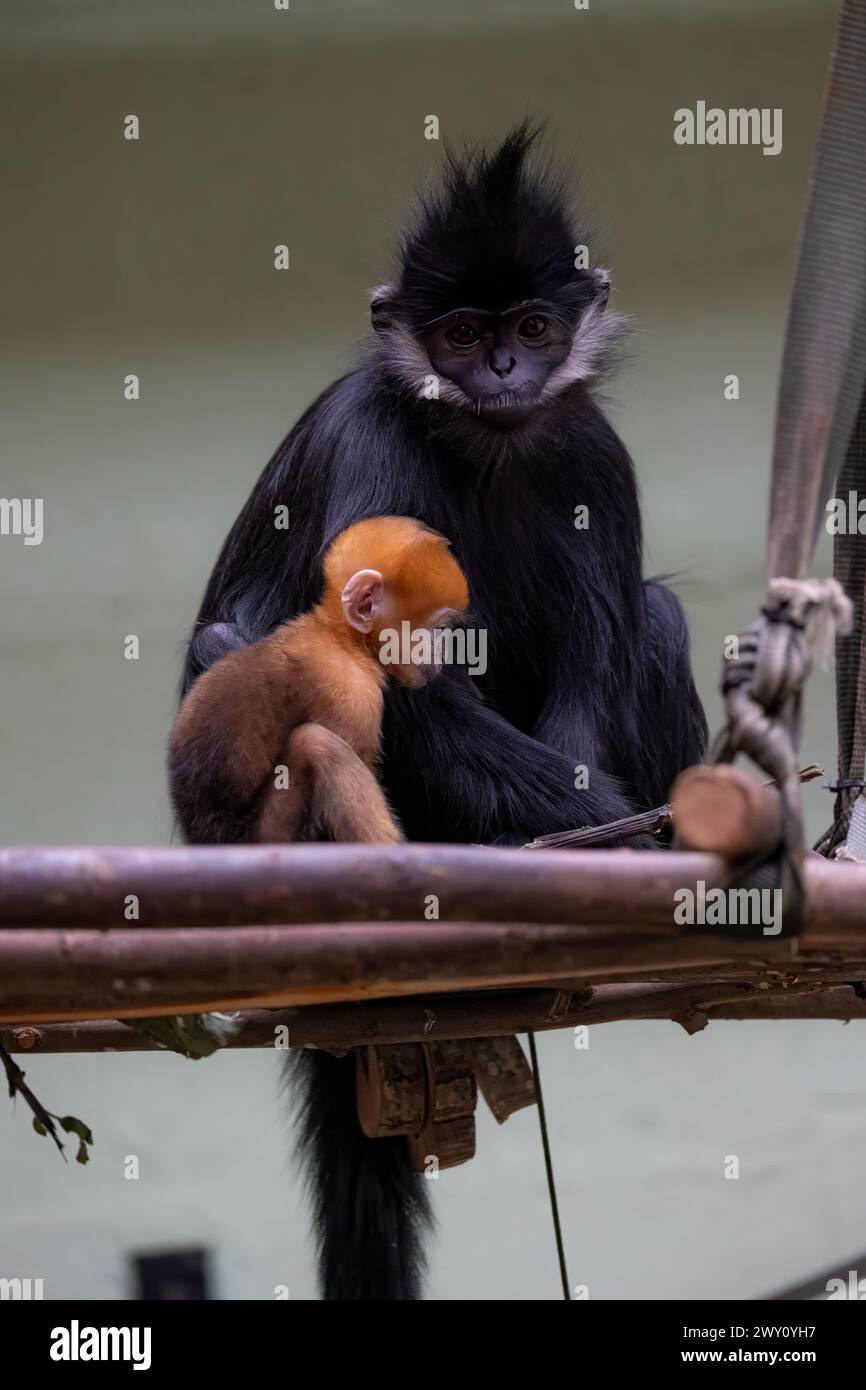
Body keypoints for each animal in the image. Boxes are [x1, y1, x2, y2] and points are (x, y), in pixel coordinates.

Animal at [169, 516, 469, 847]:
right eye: (440, 629)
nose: (442, 651)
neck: (340, 639)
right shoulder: (351, 694)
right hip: (267, 833)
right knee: (317, 744)